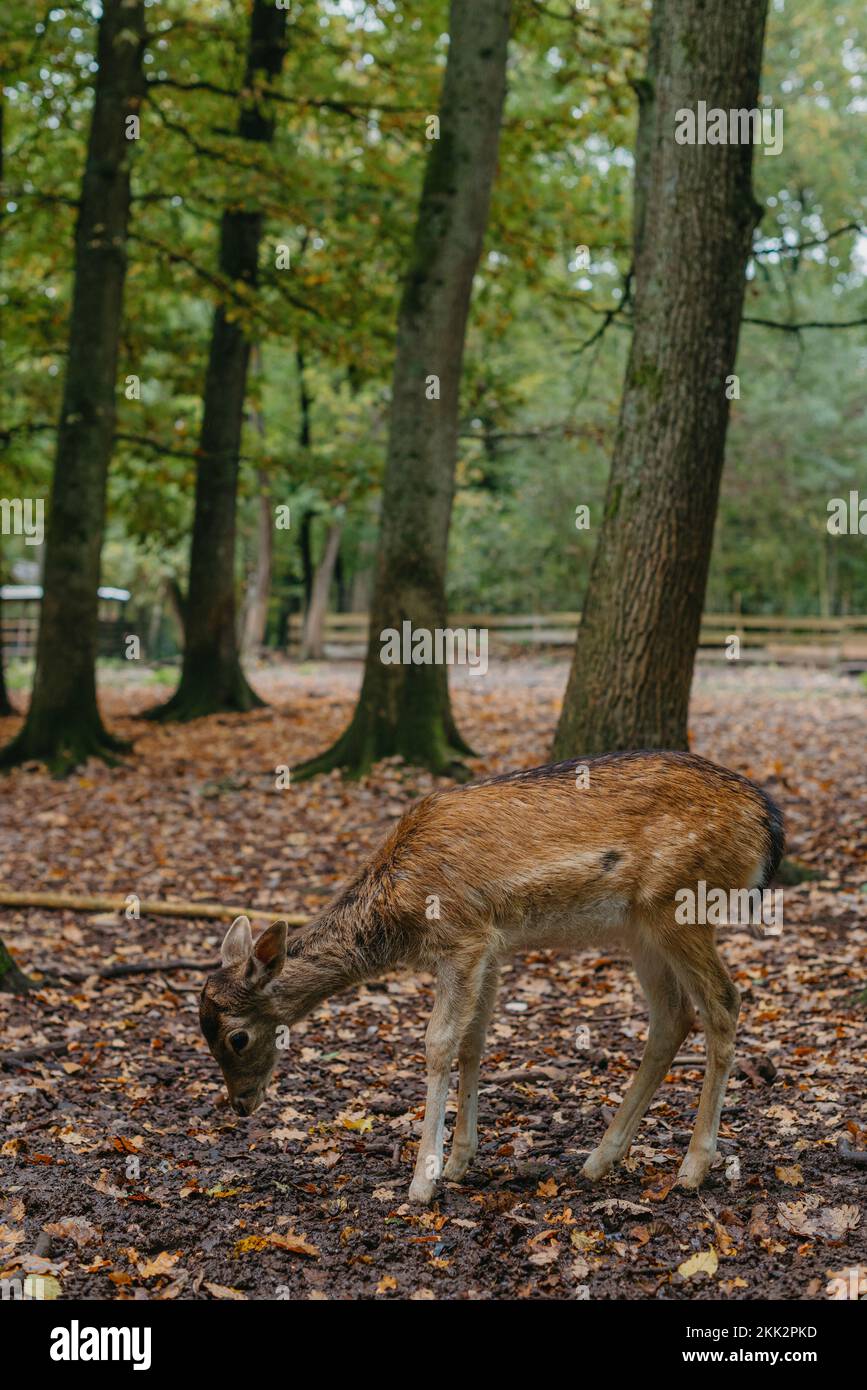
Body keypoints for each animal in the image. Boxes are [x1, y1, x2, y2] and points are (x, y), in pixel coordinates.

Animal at [199, 750, 784, 1204]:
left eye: (237, 1037)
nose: (241, 1104)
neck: (398, 911)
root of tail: (768, 822)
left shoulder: (463, 938)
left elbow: (439, 1043)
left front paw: (422, 1182)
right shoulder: (492, 946)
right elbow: (474, 1041)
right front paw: (460, 1162)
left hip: (681, 906)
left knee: (723, 1001)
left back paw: (693, 1168)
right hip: (639, 928)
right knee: (672, 1016)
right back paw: (600, 1160)